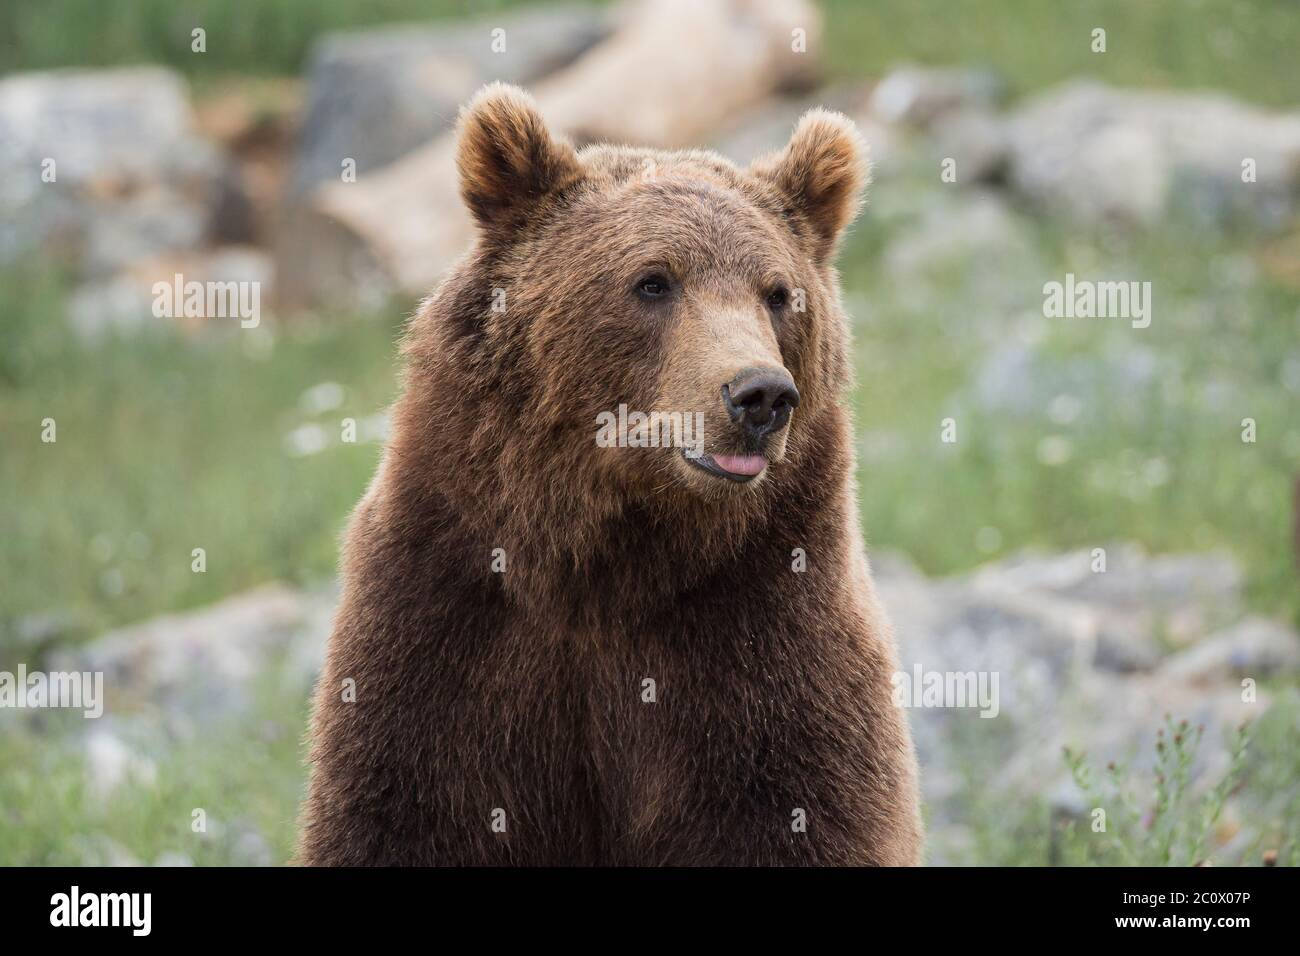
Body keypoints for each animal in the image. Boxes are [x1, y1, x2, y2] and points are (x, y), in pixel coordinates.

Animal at [298, 82, 922, 866]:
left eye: (779, 293)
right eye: (653, 281)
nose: (761, 396)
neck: (605, 561)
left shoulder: (772, 635)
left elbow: (806, 808)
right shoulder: (444, 623)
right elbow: (402, 810)